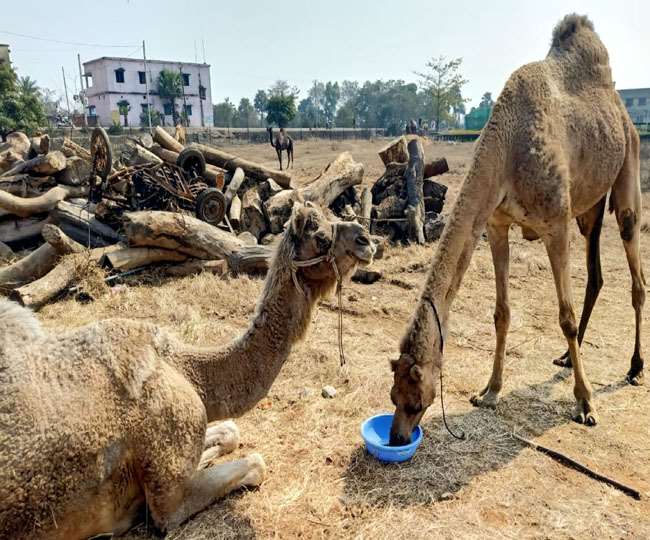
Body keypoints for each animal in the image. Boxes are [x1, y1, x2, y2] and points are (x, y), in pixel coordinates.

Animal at [0, 202, 375, 539]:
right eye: (320, 235)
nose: (367, 240)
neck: (185, 367)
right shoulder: (170, 491)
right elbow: (255, 463)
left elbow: (231, 430)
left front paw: (208, 455)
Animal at [388, 14, 645, 445]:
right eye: (393, 394)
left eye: (413, 399)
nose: (396, 437)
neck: (507, 149)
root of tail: (622, 112)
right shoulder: (496, 224)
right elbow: (501, 312)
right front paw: (489, 391)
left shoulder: (555, 224)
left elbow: (564, 316)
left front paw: (585, 403)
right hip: (589, 207)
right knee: (596, 274)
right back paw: (566, 357)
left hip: (629, 164)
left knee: (634, 266)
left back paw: (635, 366)